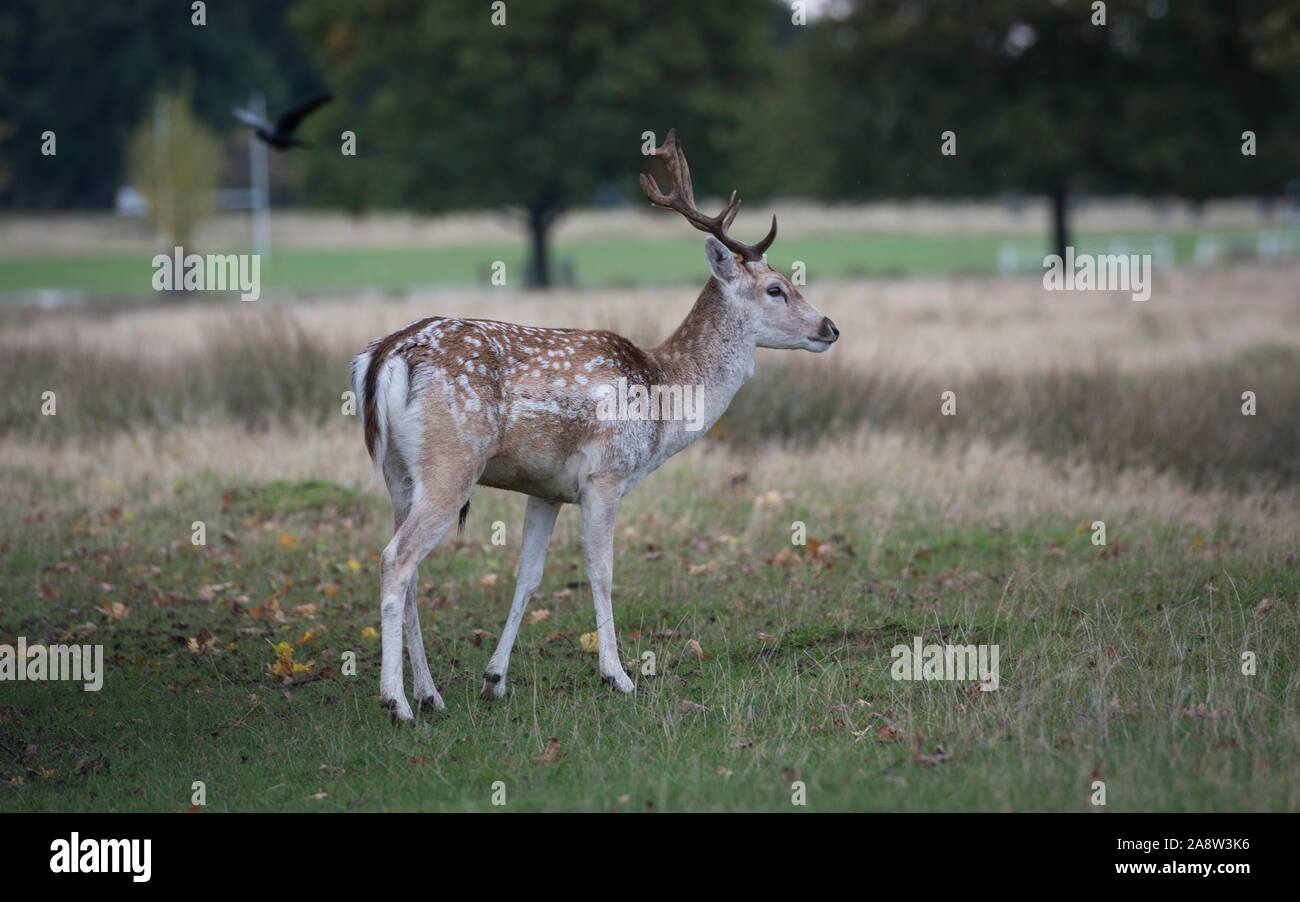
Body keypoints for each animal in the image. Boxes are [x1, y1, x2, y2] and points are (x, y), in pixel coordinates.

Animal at [350, 130, 839, 721]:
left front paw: (495, 679)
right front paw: (618, 675)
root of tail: (385, 357)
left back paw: (431, 694)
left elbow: (528, 577)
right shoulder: (605, 475)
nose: (830, 327)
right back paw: (397, 702)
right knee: (395, 560)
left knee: (412, 567)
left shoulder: (546, 489)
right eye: (775, 288)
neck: (662, 394)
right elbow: (601, 569)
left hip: (400, 473)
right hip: (452, 462)